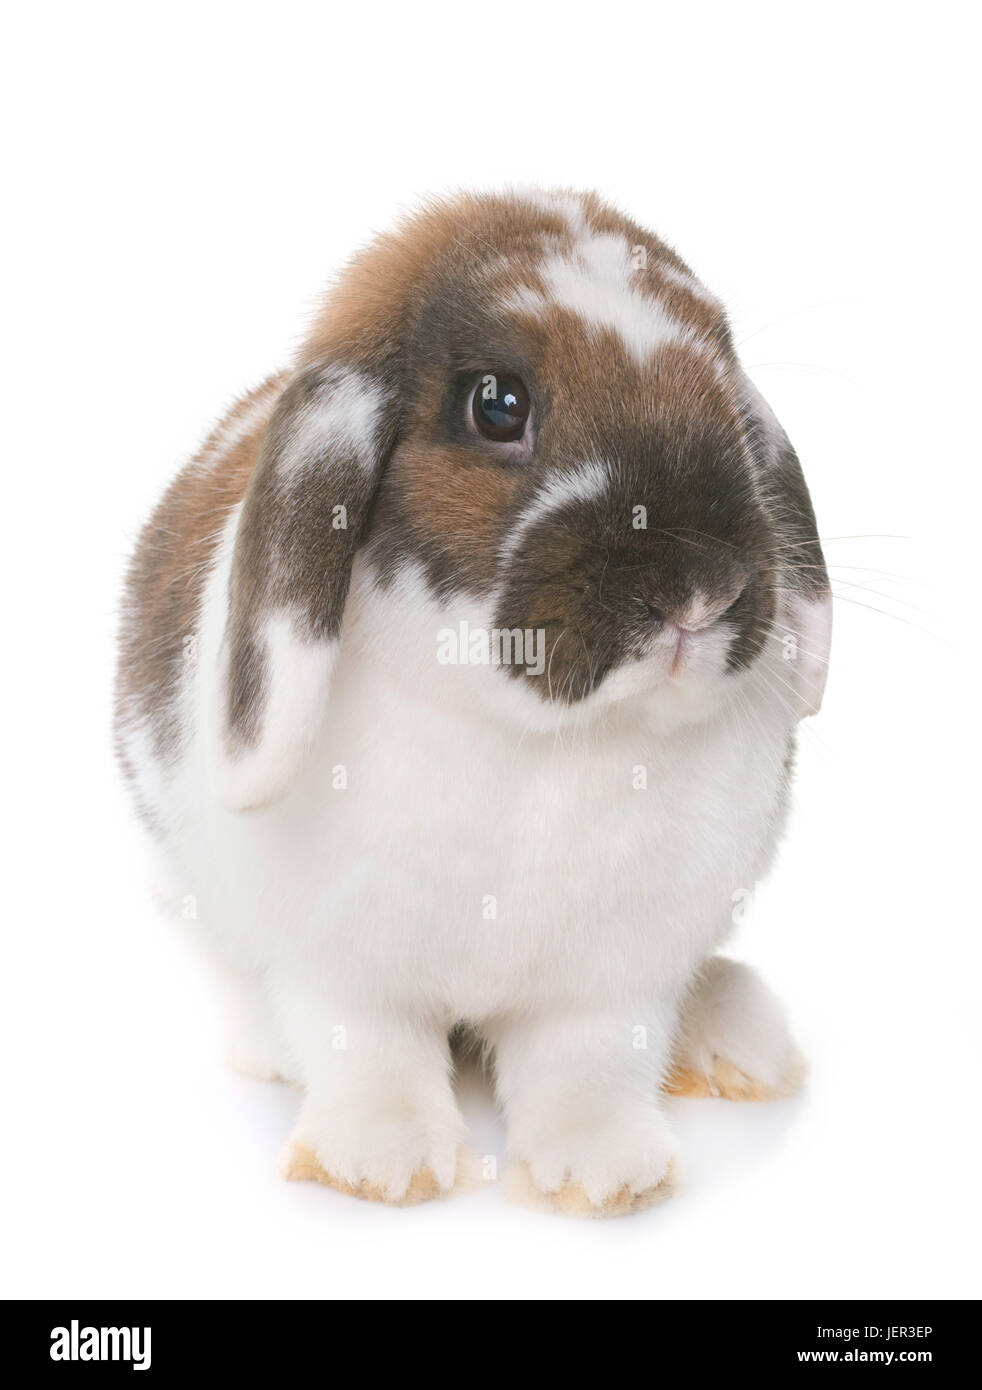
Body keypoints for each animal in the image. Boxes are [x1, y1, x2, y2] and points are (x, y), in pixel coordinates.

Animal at [115, 188, 831, 1216]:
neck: (540, 740)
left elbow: (590, 1065)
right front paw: (380, 1163)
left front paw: (604, 1174)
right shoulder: (339, 966)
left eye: (727, 398)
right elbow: (367, 1050)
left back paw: (739, 1041)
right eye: (499, 404)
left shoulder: (616, 977)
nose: (703, 587)